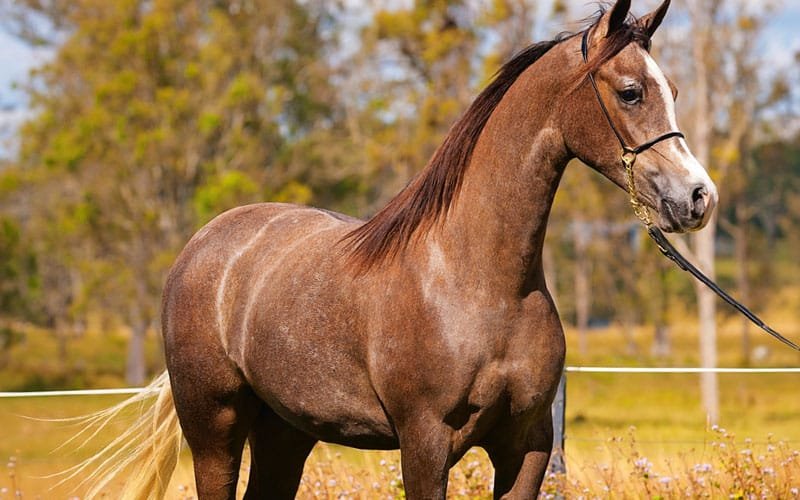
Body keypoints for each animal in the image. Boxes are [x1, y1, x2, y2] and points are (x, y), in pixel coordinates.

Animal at [73, 0, 717, 497]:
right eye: (631, 92)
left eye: (673, 90)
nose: (697, 197)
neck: (478, 280)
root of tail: (204, 244)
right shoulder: (425, 445)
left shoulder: (526, 447)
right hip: (214, 428)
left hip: (284, 432)